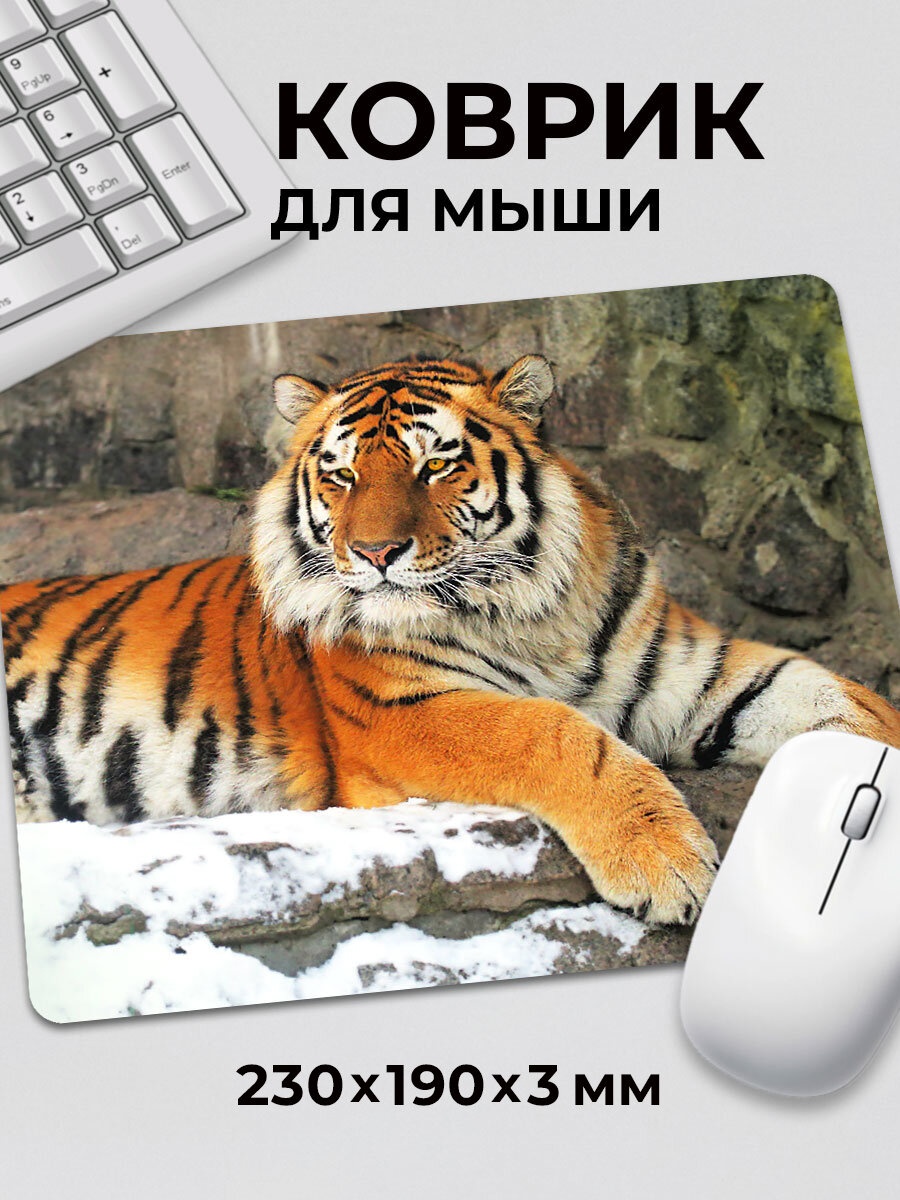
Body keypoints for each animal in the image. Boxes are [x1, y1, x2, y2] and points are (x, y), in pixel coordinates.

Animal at [5, 354, 900, 925]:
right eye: (341, 475)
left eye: (436, 465)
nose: (374, 553)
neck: (535, 614)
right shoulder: (404, 712)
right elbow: (552, 732)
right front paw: (667, 864)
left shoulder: (695, 675)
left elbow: (846, 698)